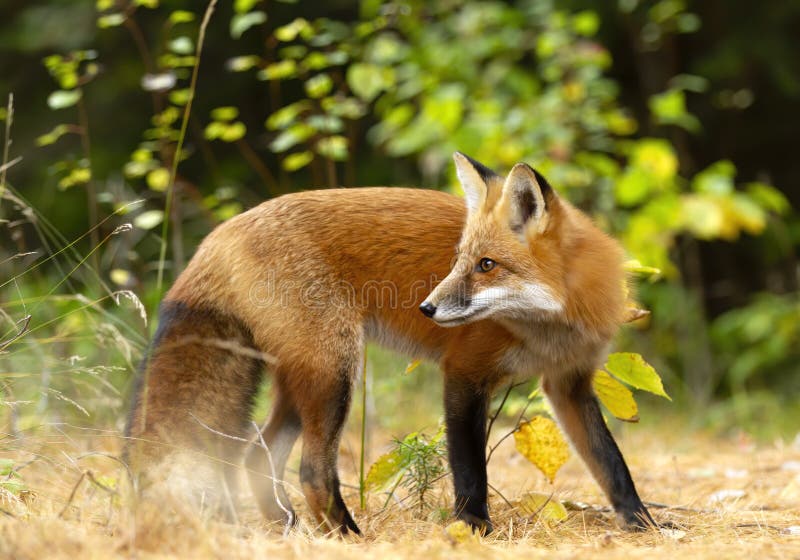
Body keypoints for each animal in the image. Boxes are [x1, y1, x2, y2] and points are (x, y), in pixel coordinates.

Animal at [125, 152, 656, 535]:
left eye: (486, 265)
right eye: (459, 261)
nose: (427, 308)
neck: (549, 328)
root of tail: (223, 232)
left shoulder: (569, 384)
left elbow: (612, 464)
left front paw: (643, 524)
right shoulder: (464, 372)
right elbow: (470, 470)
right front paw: (473, 529)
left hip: (305, 380)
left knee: (256, 453)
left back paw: (287, 529)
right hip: (335, 371)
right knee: (311, 471)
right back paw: (348, 537)